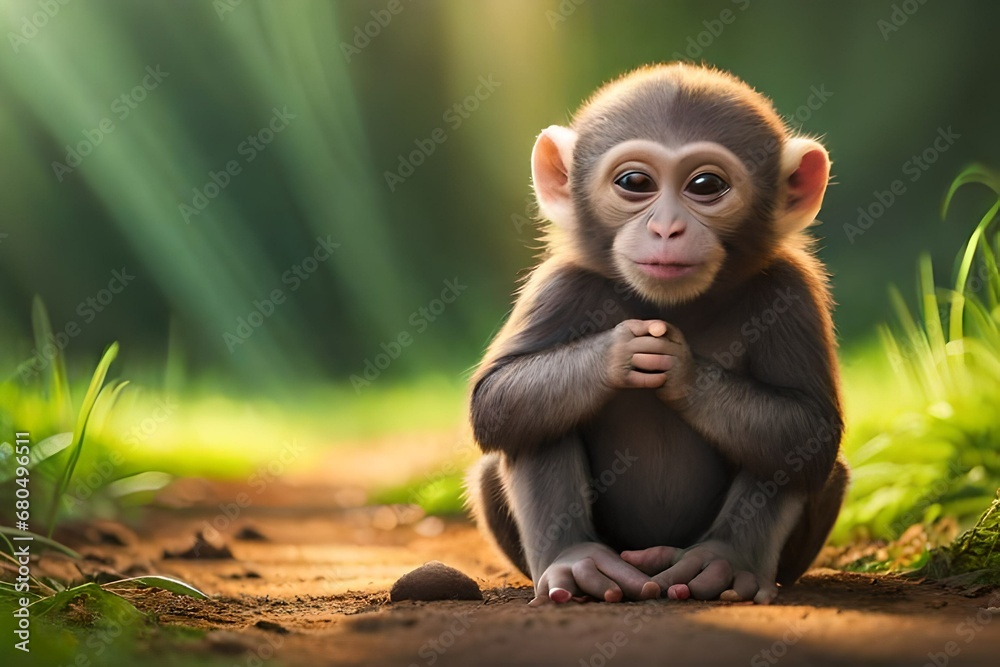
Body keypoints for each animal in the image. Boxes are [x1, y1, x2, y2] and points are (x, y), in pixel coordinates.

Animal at [466, 62, 849, 606]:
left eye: (706, 185)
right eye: (634, 182)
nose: (667, 228)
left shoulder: (791, 292)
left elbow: (811, 430)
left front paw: (679, 369)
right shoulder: (561, 283)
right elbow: (494, 397)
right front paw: (619, 352)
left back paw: (727, 562)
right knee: (533, 418)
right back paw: (575, 561)